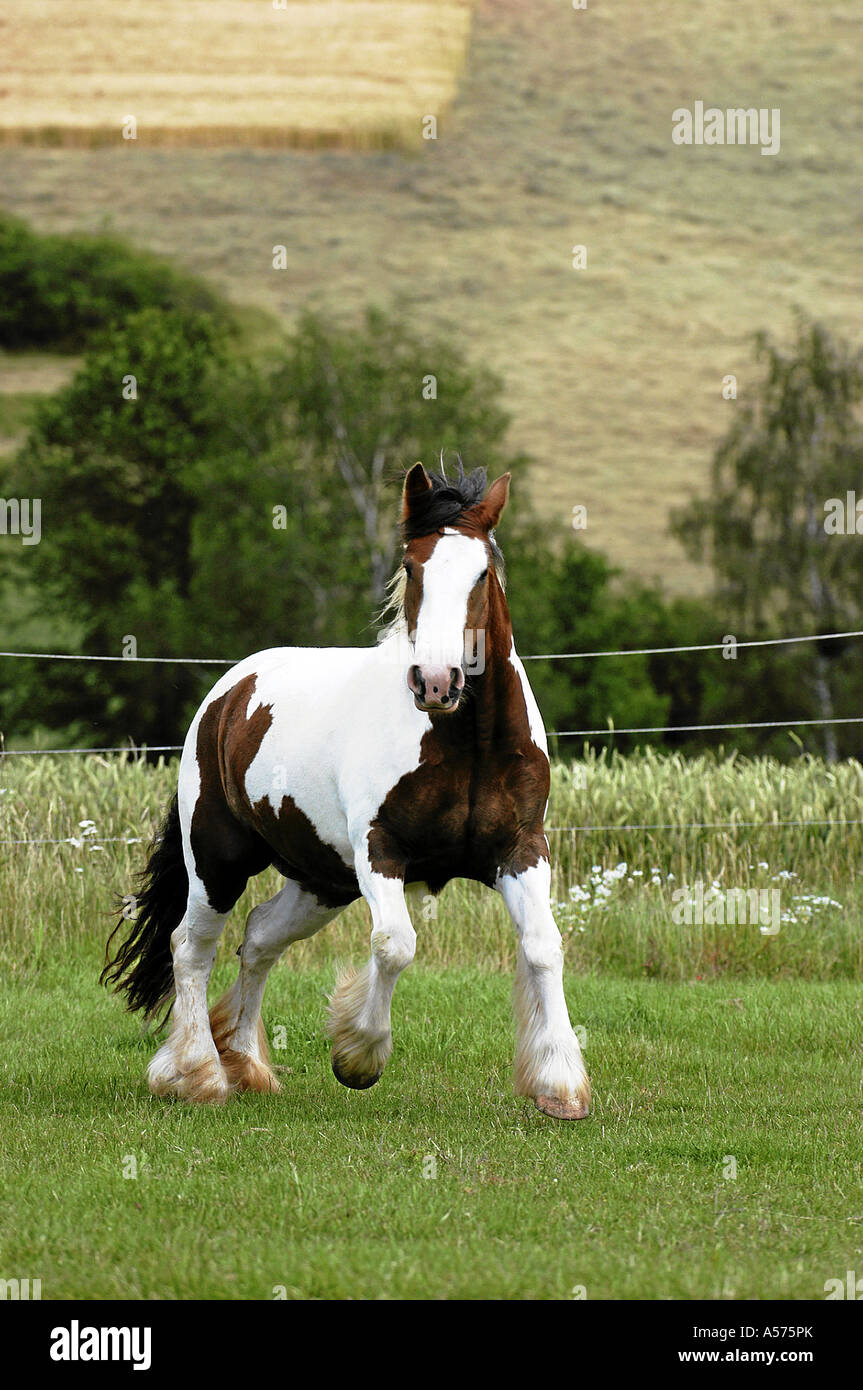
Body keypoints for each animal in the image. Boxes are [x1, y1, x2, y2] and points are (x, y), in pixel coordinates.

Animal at [102, 462, 591, 1120]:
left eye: (483, 571)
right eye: (412, 565)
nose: (437, 681)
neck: (466, 743)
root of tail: (227, 693)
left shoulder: (521, 849)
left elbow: (543, 946)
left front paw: (560, 1085)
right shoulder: (379, 849)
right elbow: (395, 945)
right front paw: (358, 1056)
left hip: (321, 879)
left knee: (259, 938)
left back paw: (247, 1065)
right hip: (217, 858)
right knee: (192, 945)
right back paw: (198, 1073)